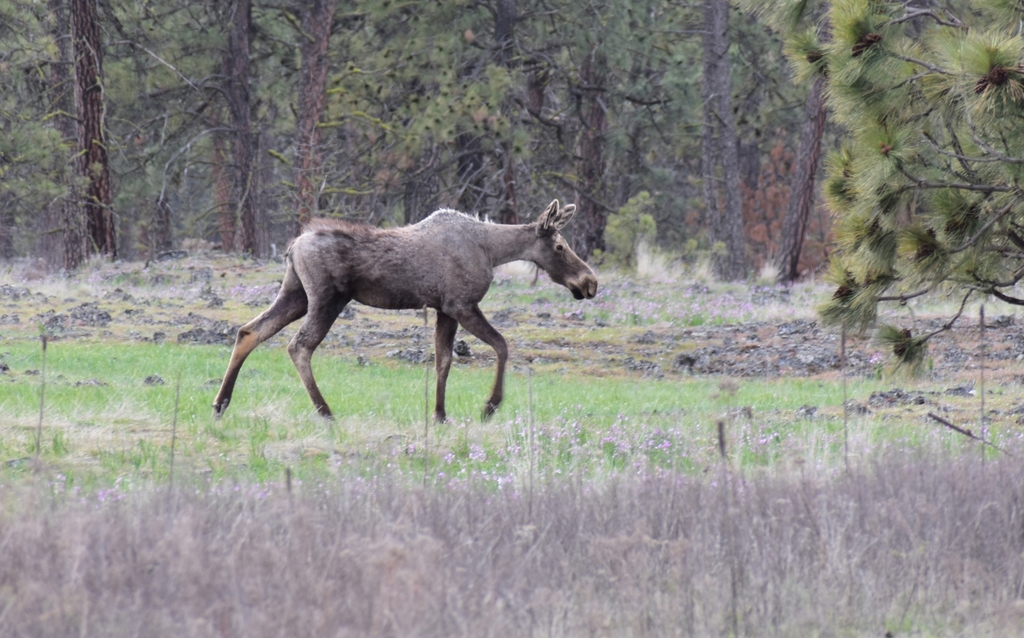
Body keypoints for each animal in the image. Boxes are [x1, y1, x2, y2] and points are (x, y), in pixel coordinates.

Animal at [213, 199, 598, 422]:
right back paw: (325, 411)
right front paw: (489, 406)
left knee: (250, 331)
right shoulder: (461, 303)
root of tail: (292, 247)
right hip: (326, 298)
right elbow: (502, 345)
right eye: (560, 246)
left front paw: (440, 414)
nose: (590, 282)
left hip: (296, 294)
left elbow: (443, 360)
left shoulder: (445, 308)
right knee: (299, 346)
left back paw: (220, 404)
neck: (491, 250)